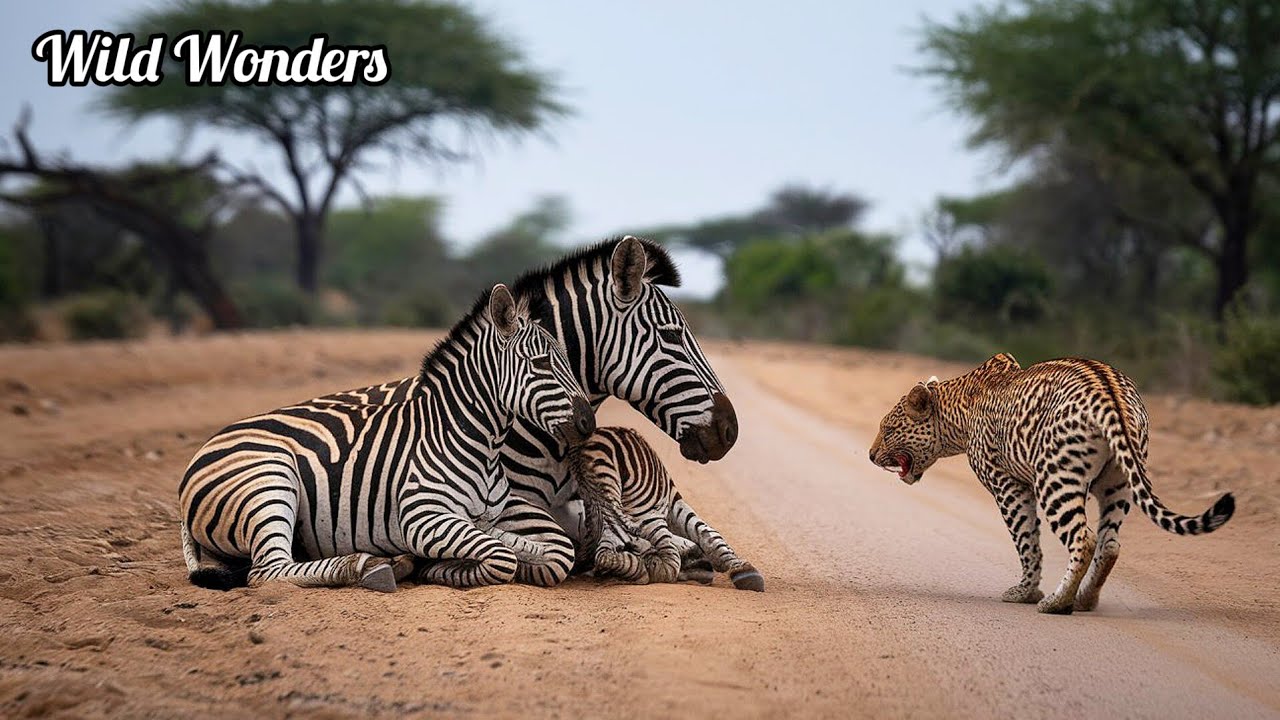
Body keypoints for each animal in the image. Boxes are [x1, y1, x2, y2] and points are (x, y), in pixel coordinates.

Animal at [179, 284, 596, 591]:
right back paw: (364, 566)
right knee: (267, 570)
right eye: (541, 364)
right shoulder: (421, 516)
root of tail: (203, 450)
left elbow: (554, 550)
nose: (588, 422)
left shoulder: (496, 512)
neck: (476, 443)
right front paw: (445, 569)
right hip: (269, 483)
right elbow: (501, 557)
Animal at [571, 426, 764, 590]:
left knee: (606, 553)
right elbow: (704, 533)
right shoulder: (670, 502)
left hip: (623, 508)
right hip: (646, 509)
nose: (703, 569)